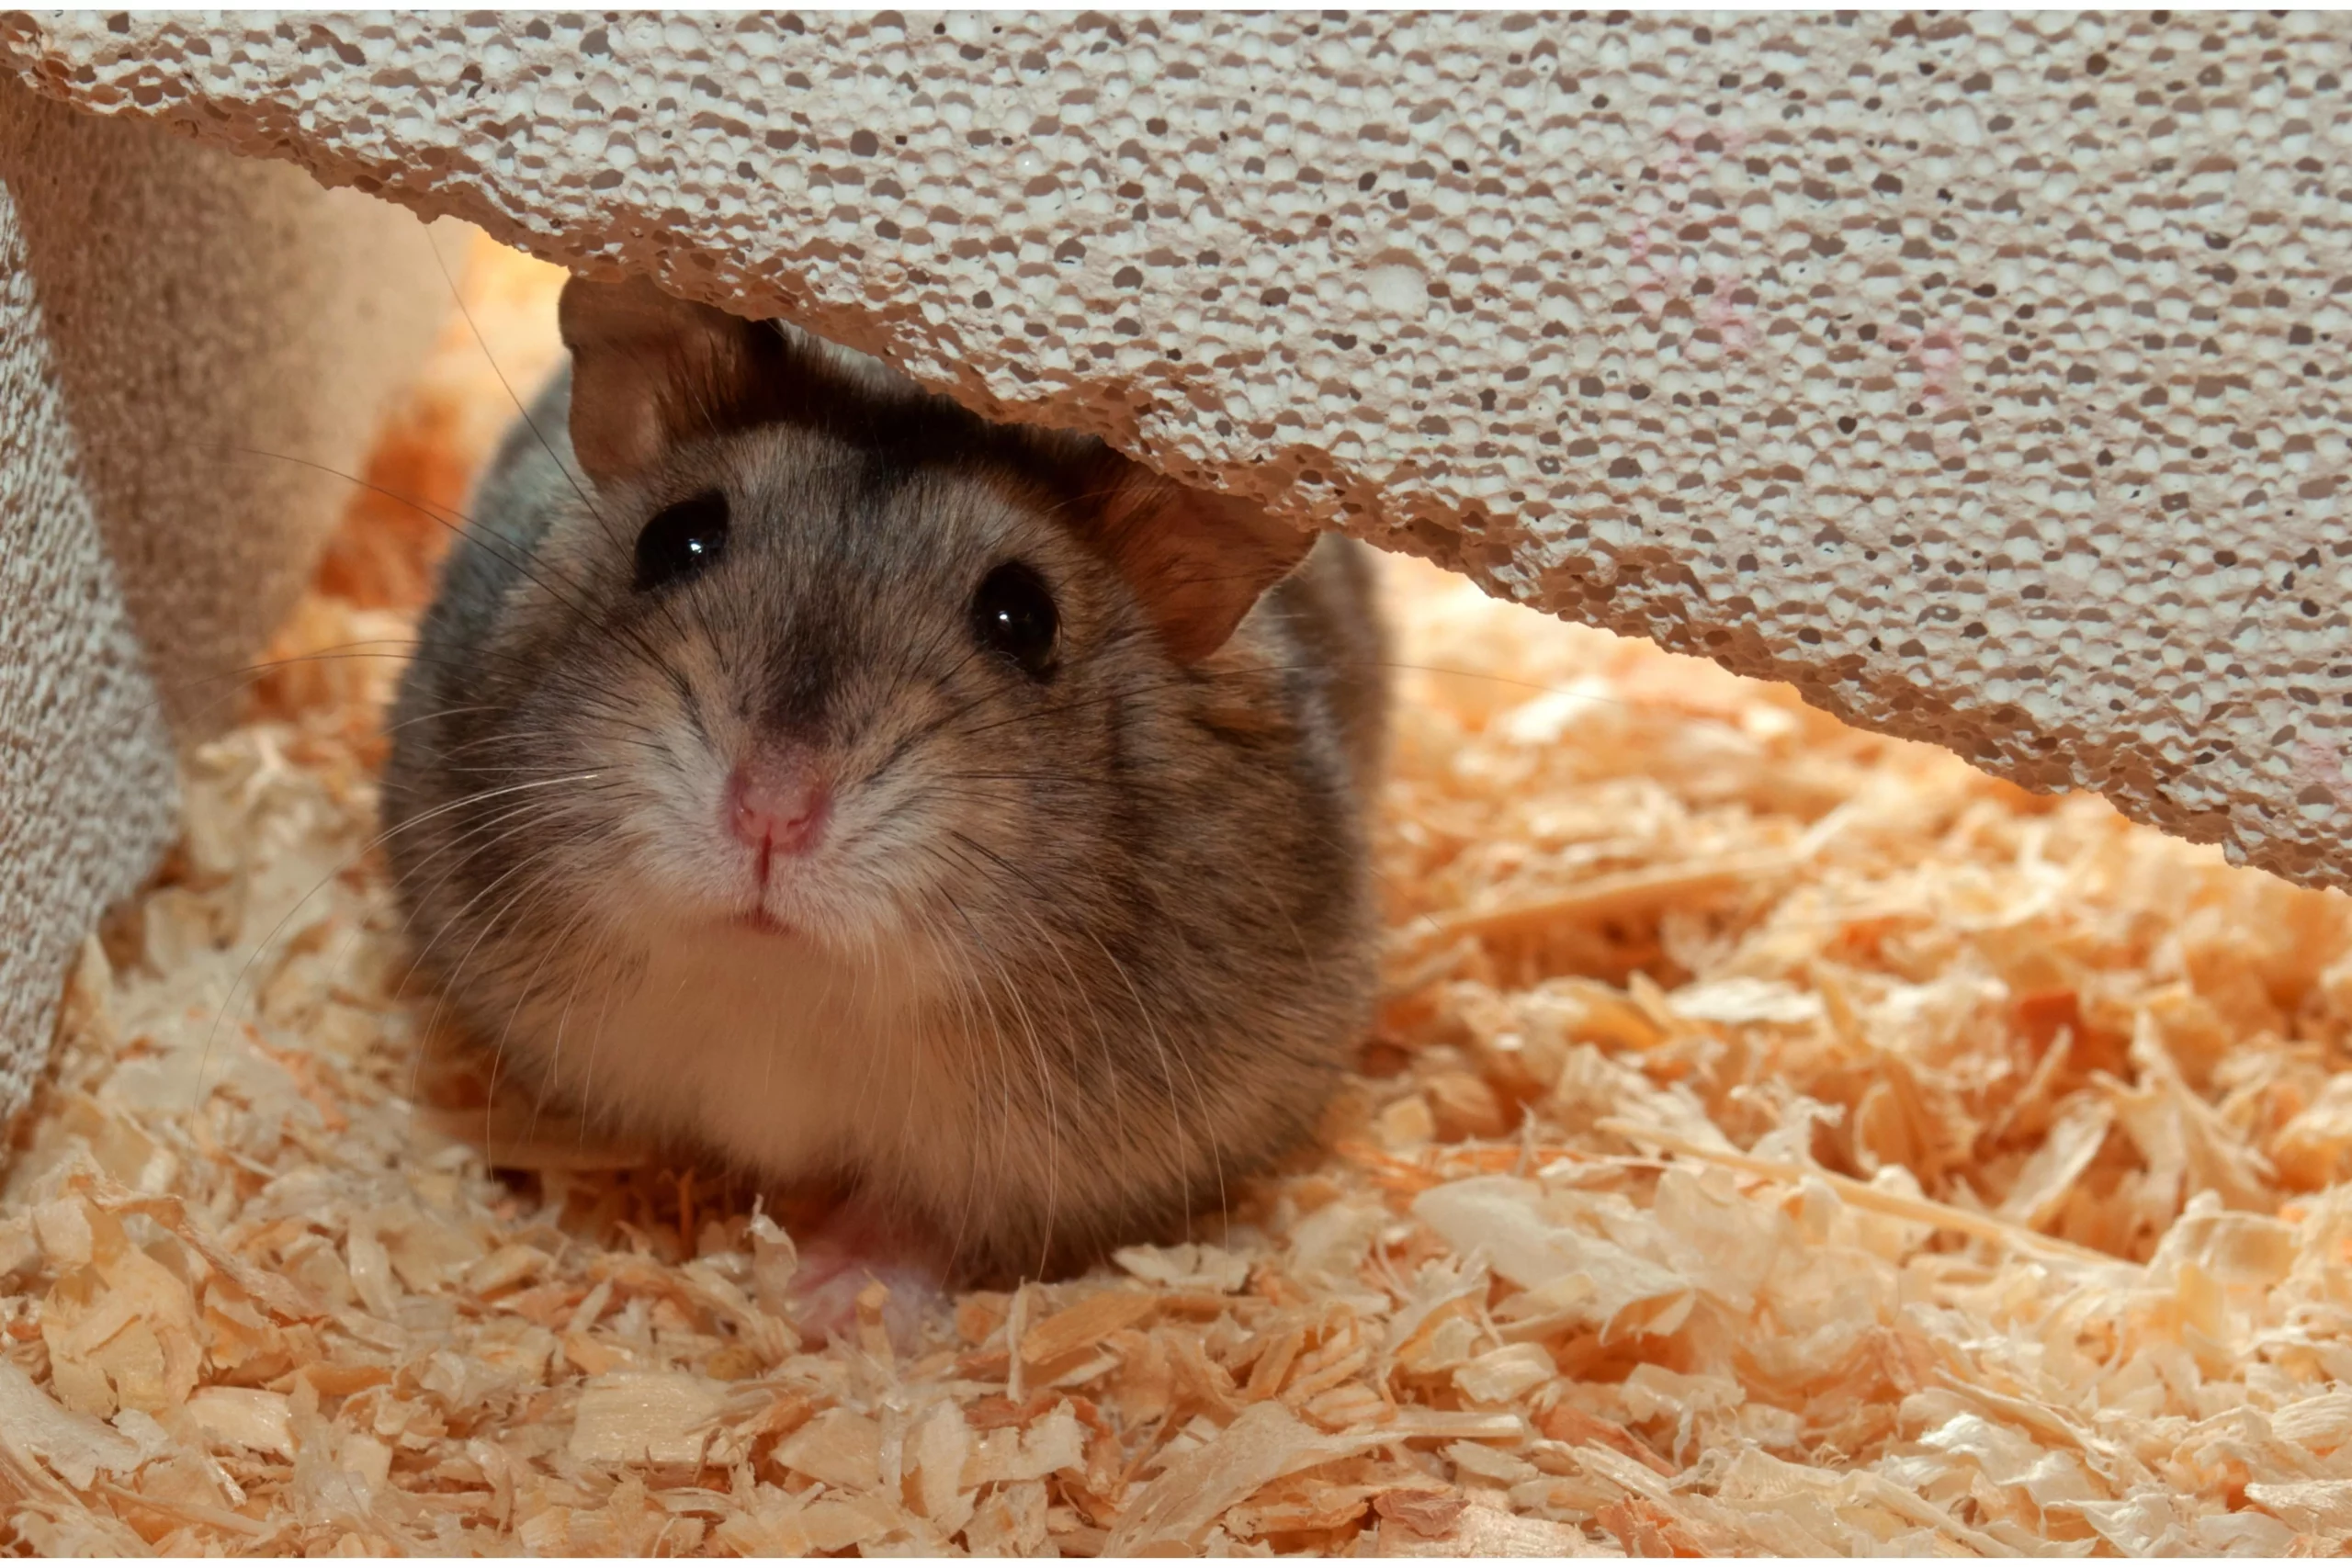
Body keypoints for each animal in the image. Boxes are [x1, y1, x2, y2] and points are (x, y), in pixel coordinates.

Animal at [380, 274, 1388, 1289]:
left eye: (1024, 618)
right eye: (676, 539)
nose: (771, 813)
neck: (779, 989)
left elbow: (925, 1225)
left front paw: (814, 1294)